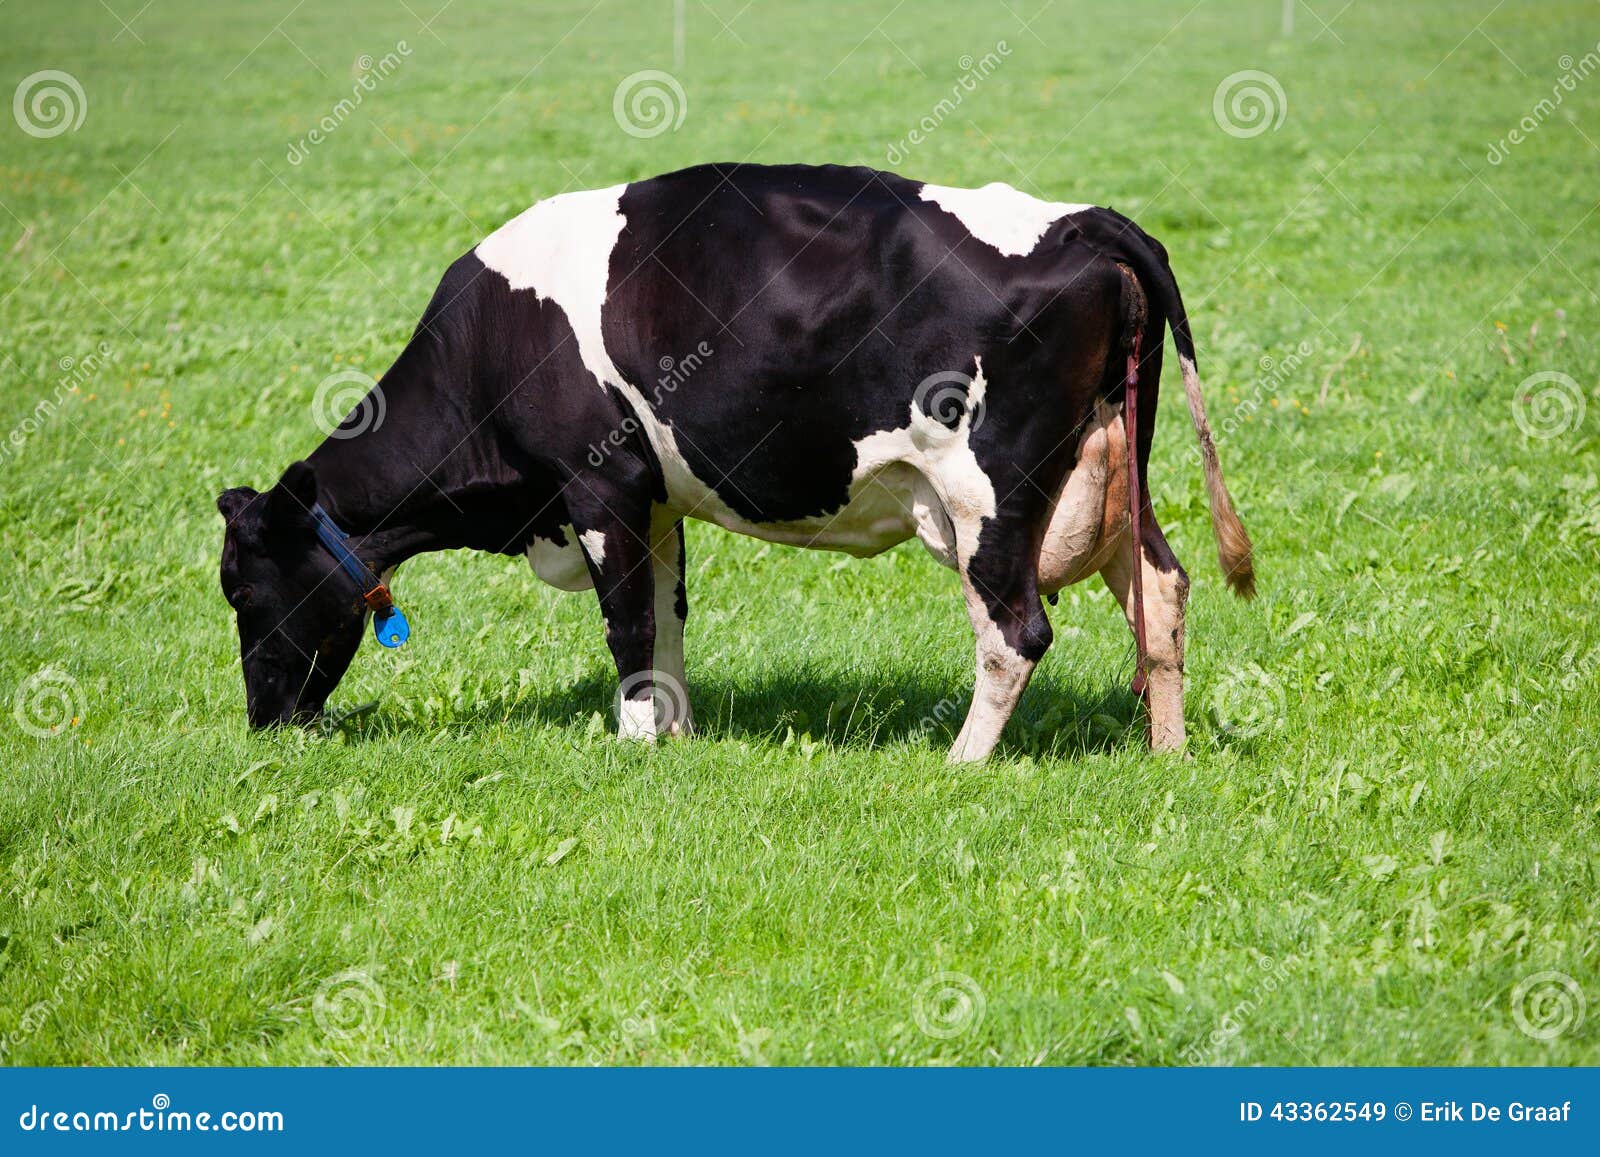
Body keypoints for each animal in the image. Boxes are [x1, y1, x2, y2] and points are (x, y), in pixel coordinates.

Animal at [217, 163, 1254, 761]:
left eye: (243, 590)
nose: (265, 720)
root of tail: (1083, 219)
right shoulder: (654, 499)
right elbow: (667, 617)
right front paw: (675, 733)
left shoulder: (599, 486)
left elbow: (628, 626)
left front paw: (634, 747)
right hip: (1114, 469)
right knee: (1161, 590)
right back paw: (1166, 755)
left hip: (986, 492)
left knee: (1015, 630)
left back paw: (961, 761)